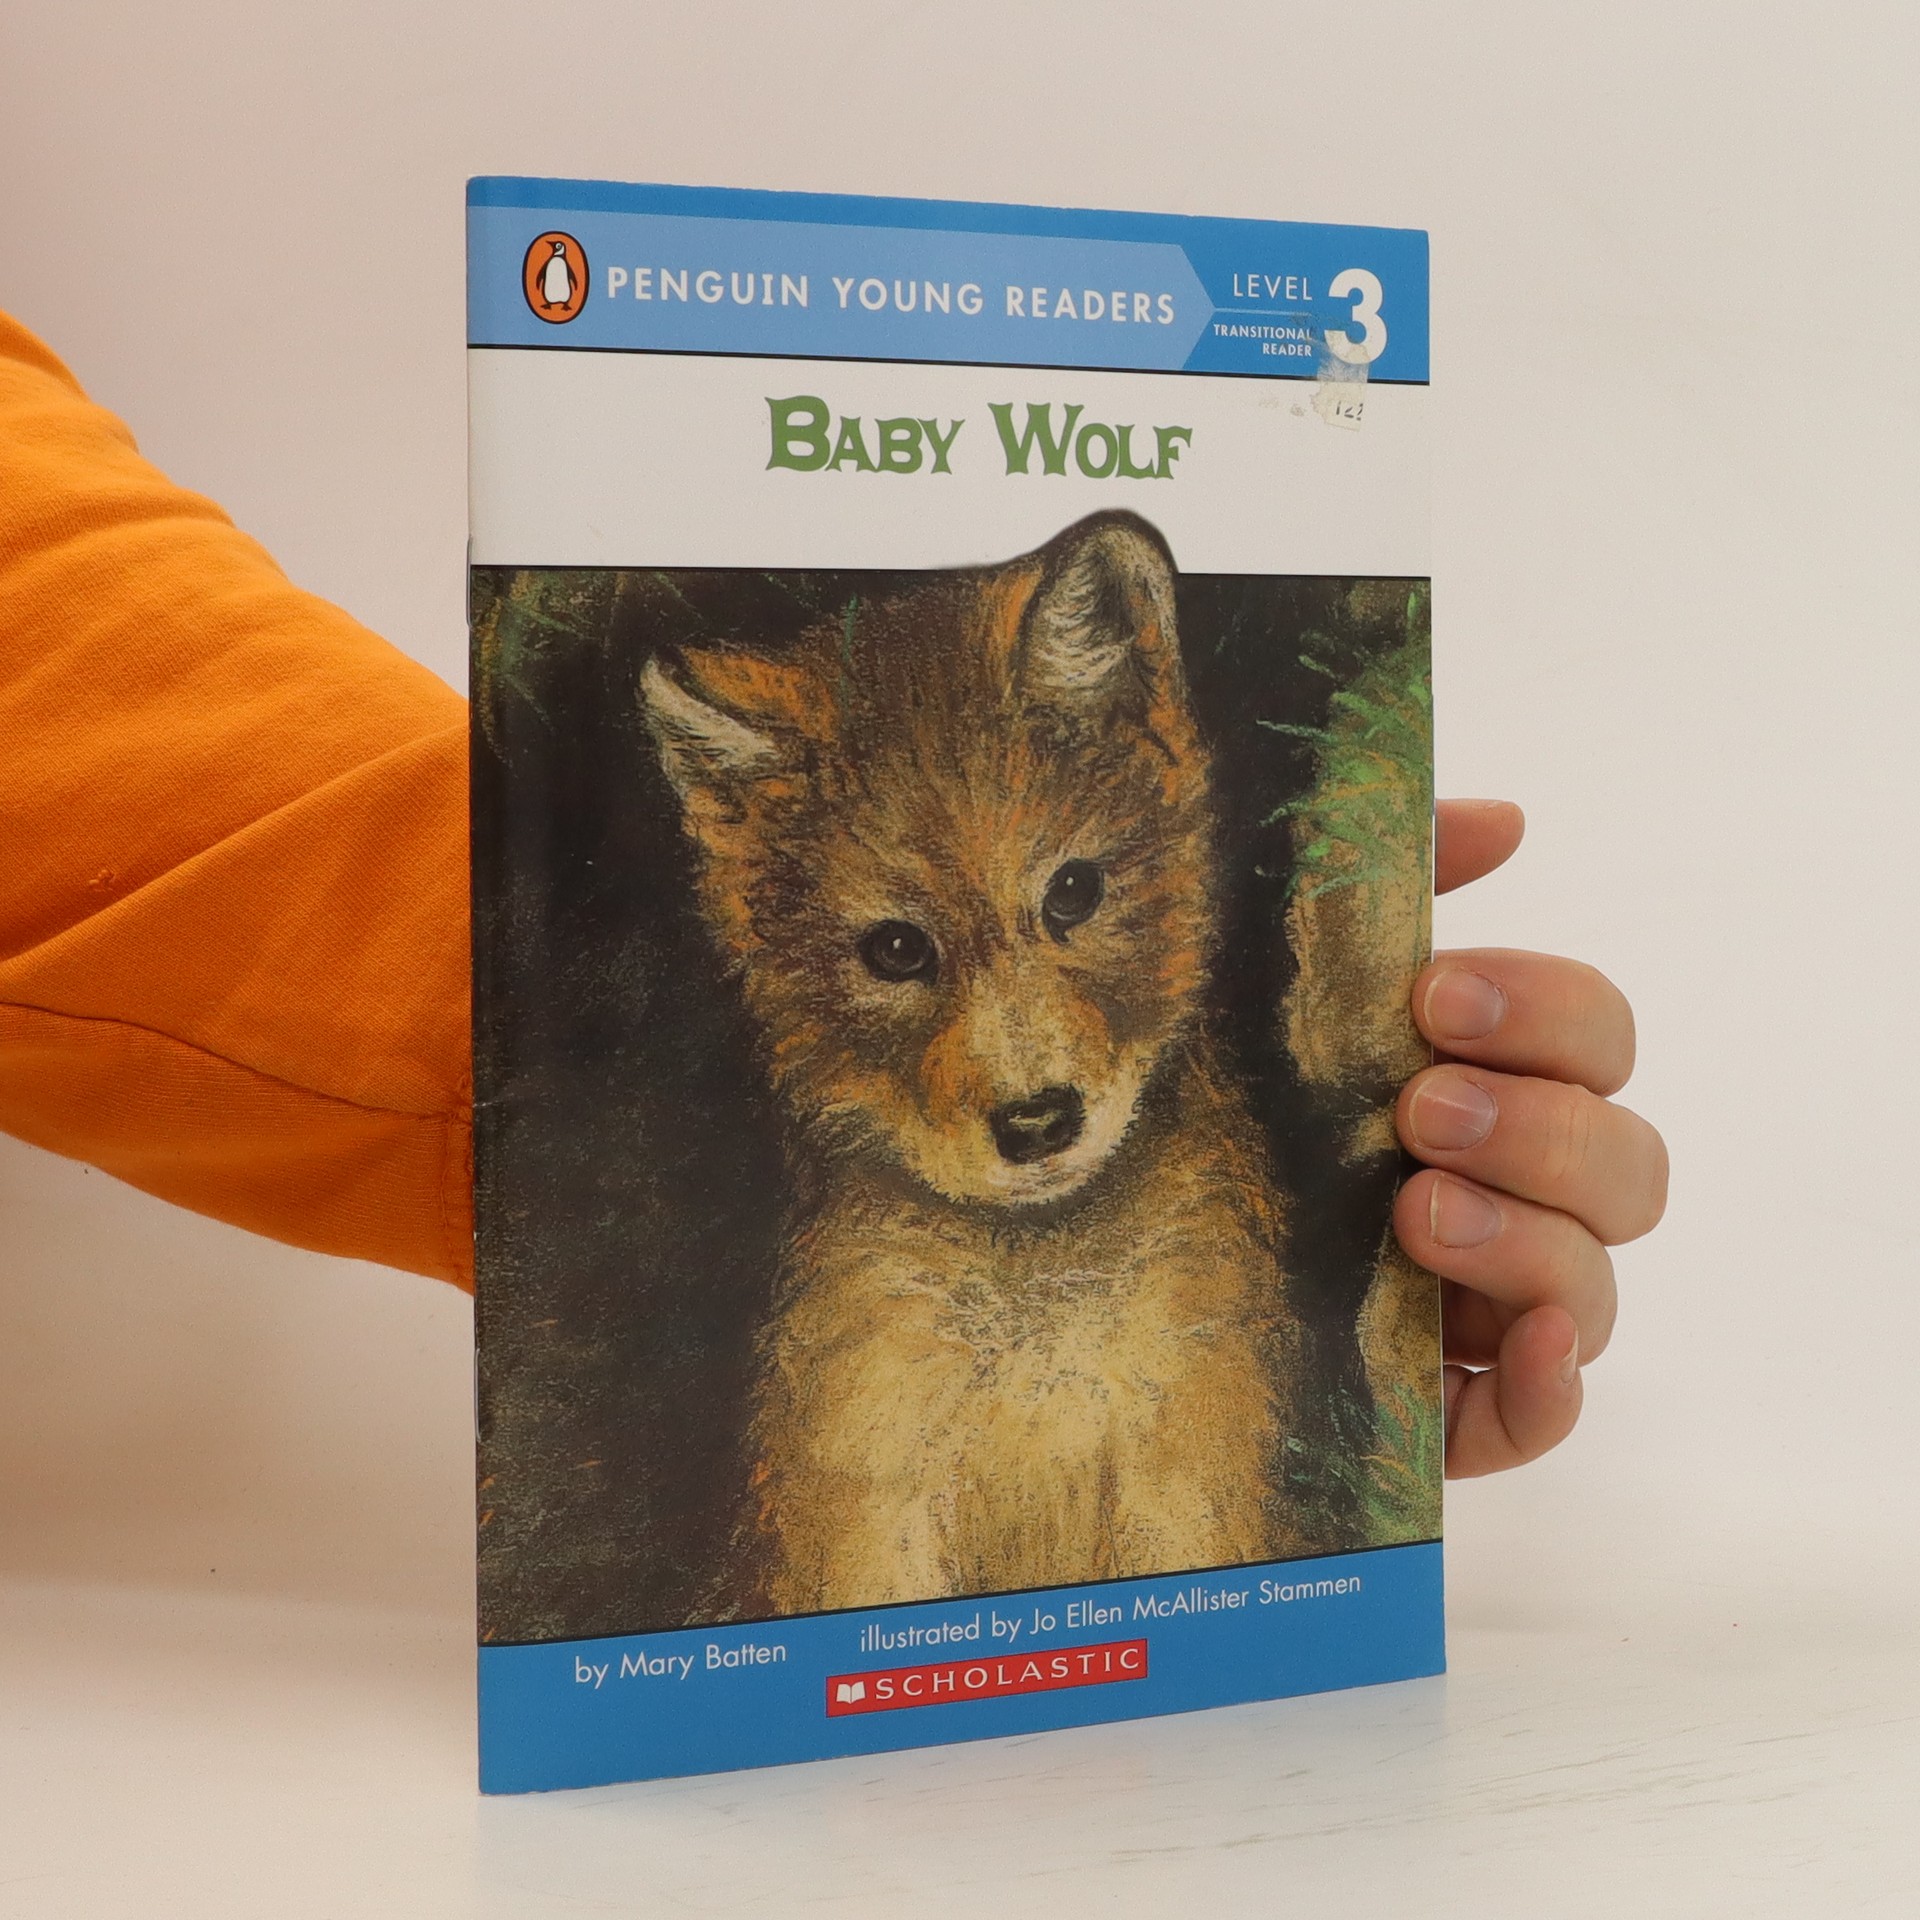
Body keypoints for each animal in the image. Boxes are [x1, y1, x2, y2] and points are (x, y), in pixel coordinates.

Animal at [640, 511, 1304, 1615]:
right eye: (896, 950)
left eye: (1074, 892)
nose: (1037, 1124)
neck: (1035, 1296)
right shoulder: (869, 1512)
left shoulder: (1190, 1476)